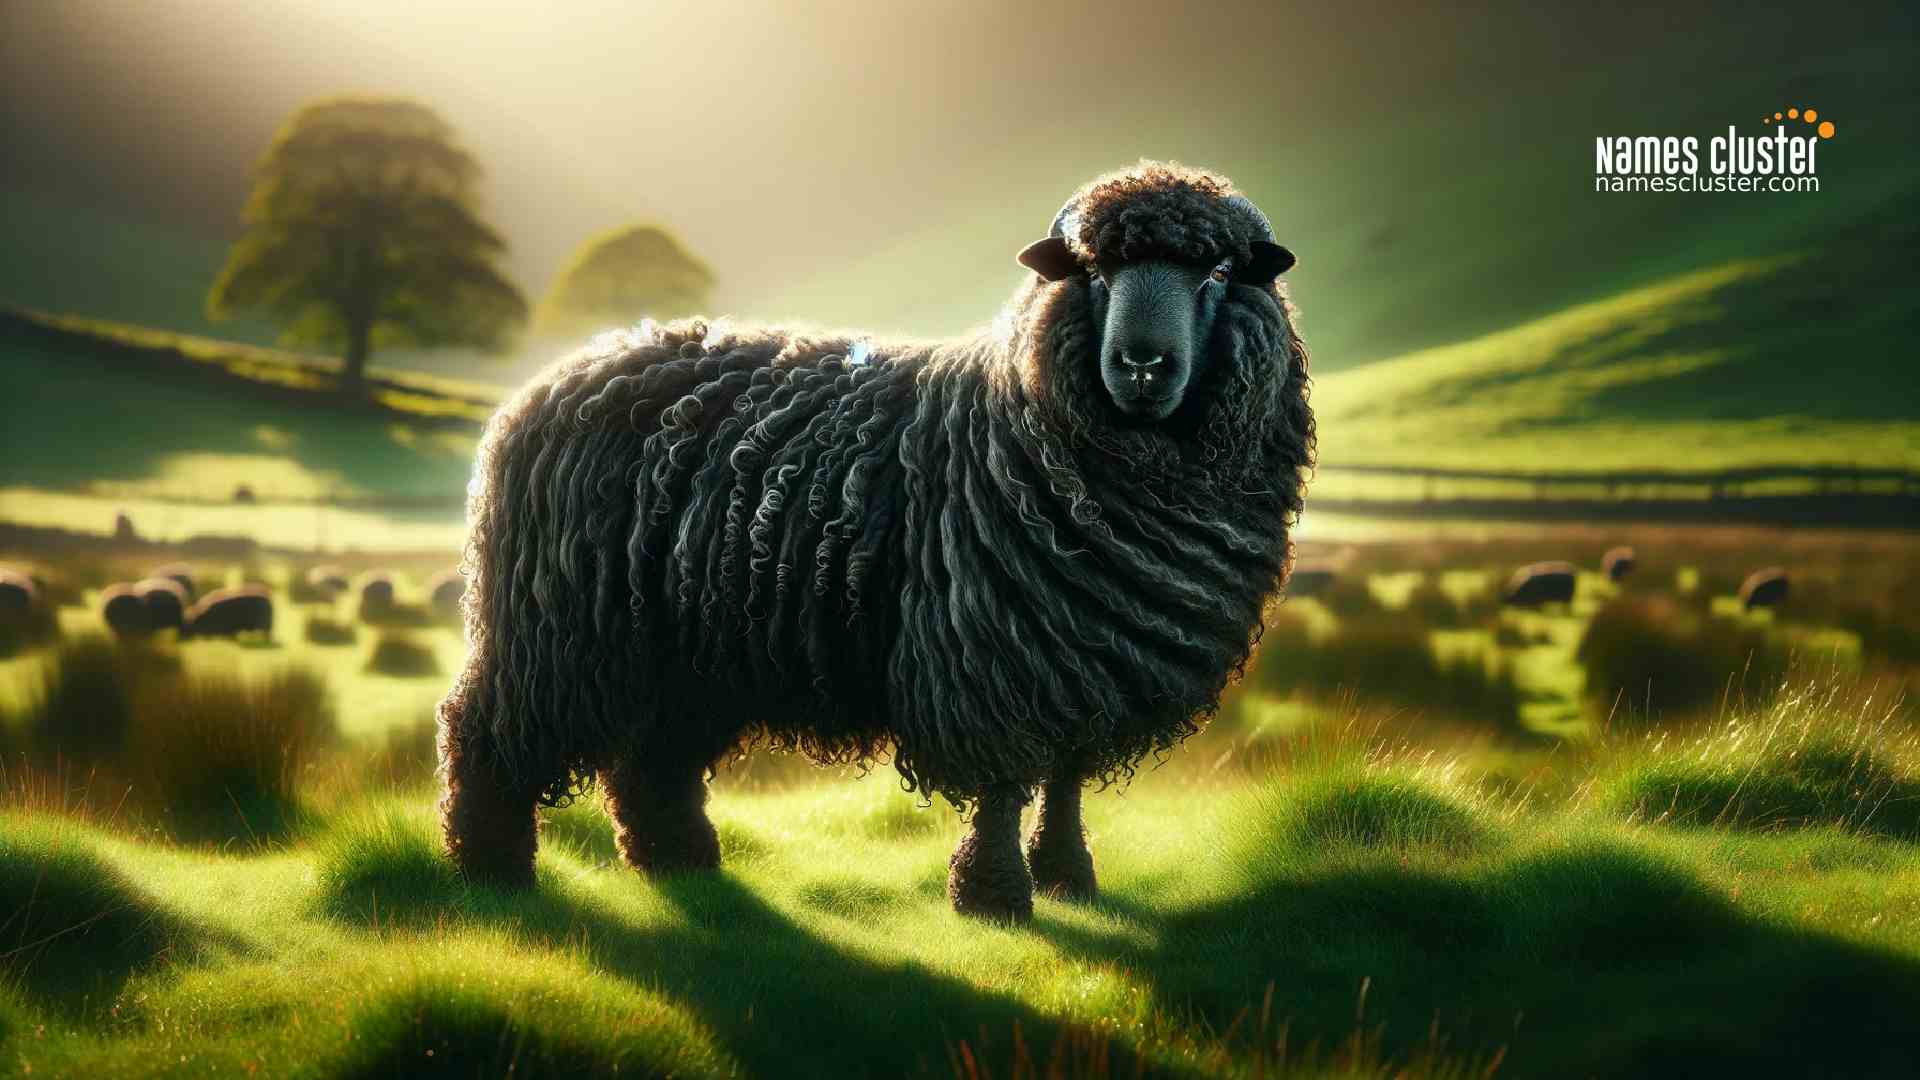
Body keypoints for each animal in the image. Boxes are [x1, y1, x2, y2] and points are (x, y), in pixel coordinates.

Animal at [437, 161, 1312, 921]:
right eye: (1093, 274)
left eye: (1218, 274)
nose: (1141, 365)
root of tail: (554, 379)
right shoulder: (994, 658)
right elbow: (1003, 786)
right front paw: (993, 896)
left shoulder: (1089, 656)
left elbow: (1064, 778)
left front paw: (1070, 878)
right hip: (558, 631)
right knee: (486, 730)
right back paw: (491, 869)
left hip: (683, 640)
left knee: (655, 753)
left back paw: (677, 859)